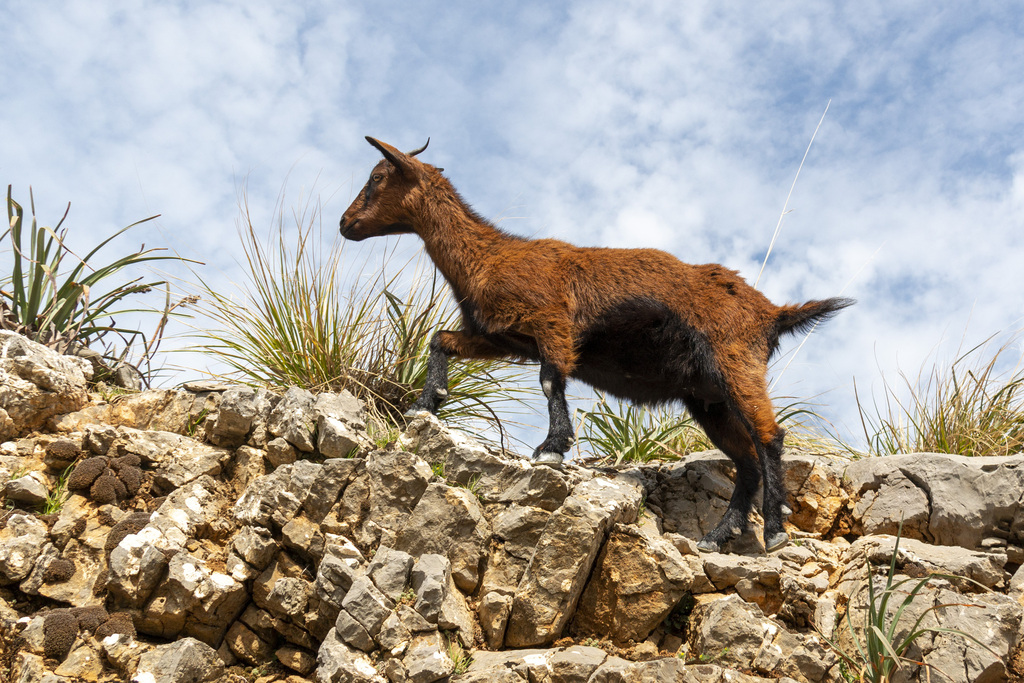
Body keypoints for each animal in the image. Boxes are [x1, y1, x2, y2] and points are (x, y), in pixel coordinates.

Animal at [340, 137, 853, 553]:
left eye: (378, 176)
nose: (346, 223)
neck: (489, 256)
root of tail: (772, 313)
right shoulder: (502, 336)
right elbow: (442, 340)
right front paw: (427, 404)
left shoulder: (553, 325)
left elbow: (551, 381)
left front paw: (552, 446)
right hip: (709, 399)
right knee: (745, 461)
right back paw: (716, 535)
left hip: (735, 361)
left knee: (769, 437)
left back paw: (774, 530)